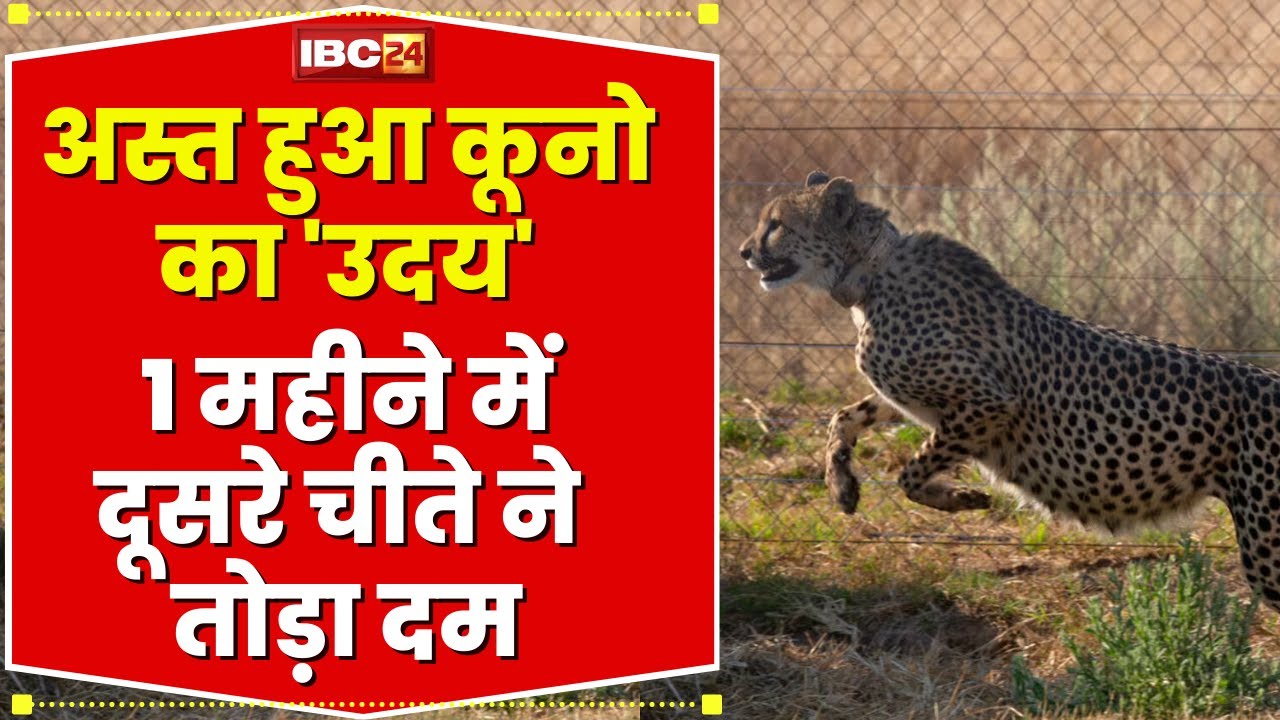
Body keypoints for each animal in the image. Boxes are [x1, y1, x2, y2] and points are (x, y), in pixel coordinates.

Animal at [739, 170, 1280, 607]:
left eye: (777, 224)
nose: (745, 252)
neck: (869, 271)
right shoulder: (915, 401)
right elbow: (845, 417)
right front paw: (842, 486)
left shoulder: (989, 403)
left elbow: (910, 474)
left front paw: (959, 498)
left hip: (1266, 544)